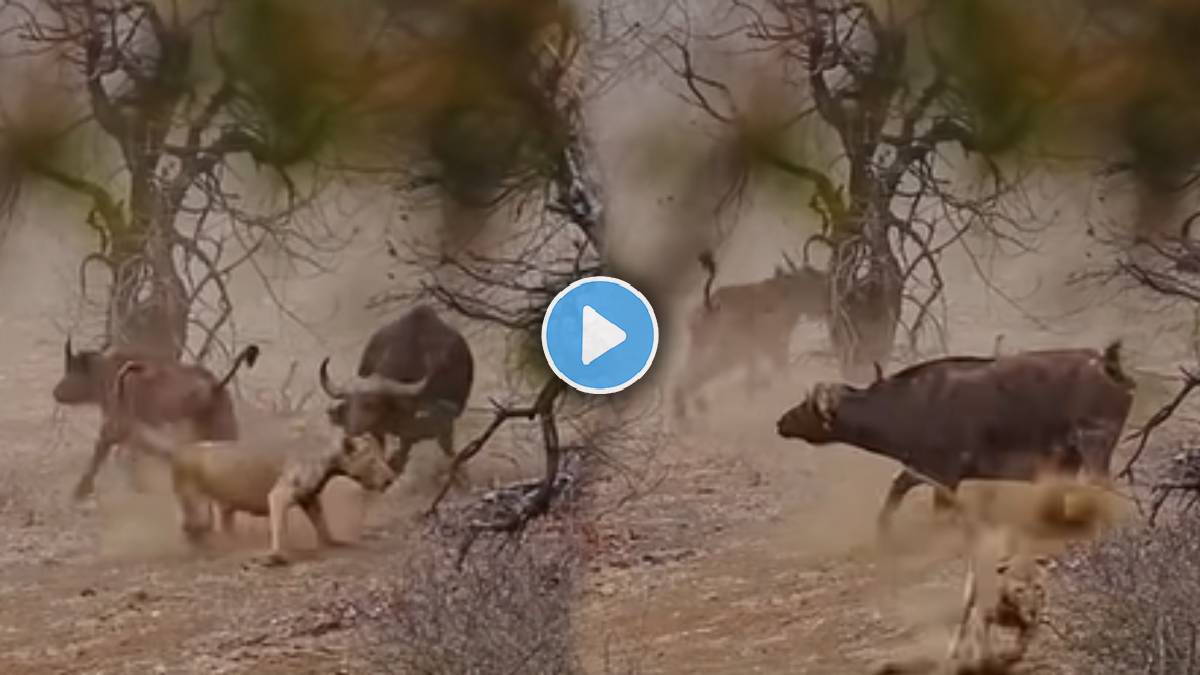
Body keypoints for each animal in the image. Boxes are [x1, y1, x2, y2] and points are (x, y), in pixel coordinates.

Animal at [776, 341, 1135, 532]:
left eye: (806, 407)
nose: (780, 422)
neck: (906, 405)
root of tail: (1106, 364)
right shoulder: (922, 470)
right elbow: (896, 490)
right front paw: (883, 530)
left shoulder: (944, 475)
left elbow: (936, 510)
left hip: (1094, 446)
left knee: (1102, 486)